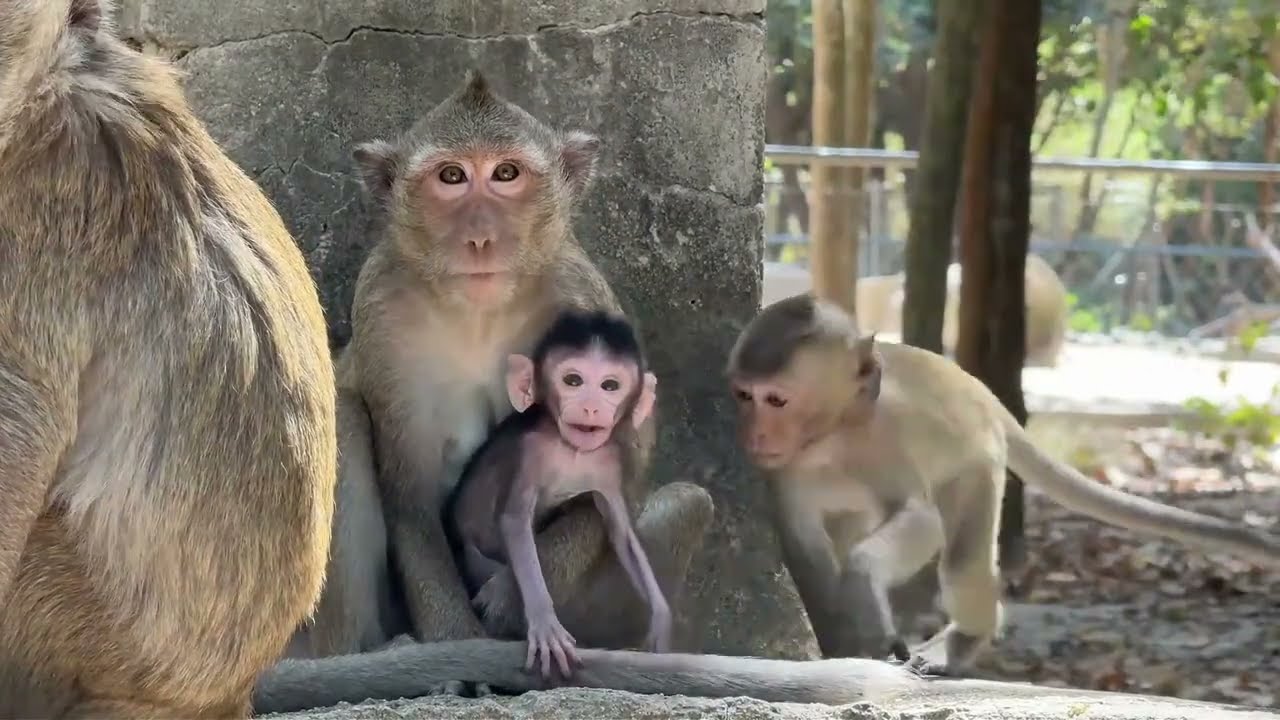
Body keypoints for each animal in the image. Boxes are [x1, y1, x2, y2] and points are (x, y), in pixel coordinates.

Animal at [445, 308, 672, 679]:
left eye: (610, 386)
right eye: (573, 381)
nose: (591, 407)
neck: (572, 451)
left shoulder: (609, 462)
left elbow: (621, 533)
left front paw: (662, 620)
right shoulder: (530, 452)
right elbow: (514, 521)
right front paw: (545, 622)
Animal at [725, 293, 1280, 678]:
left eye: (776, 401)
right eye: (744, 396)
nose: (754, 434)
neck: (831, 436)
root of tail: (984, 396)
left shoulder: (886, 440)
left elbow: (922, 519)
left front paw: (863, 594)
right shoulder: (786, 471)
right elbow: (807, 552)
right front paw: (840, 642)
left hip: (977, 462)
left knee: (961, 556)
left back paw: (963, 641)